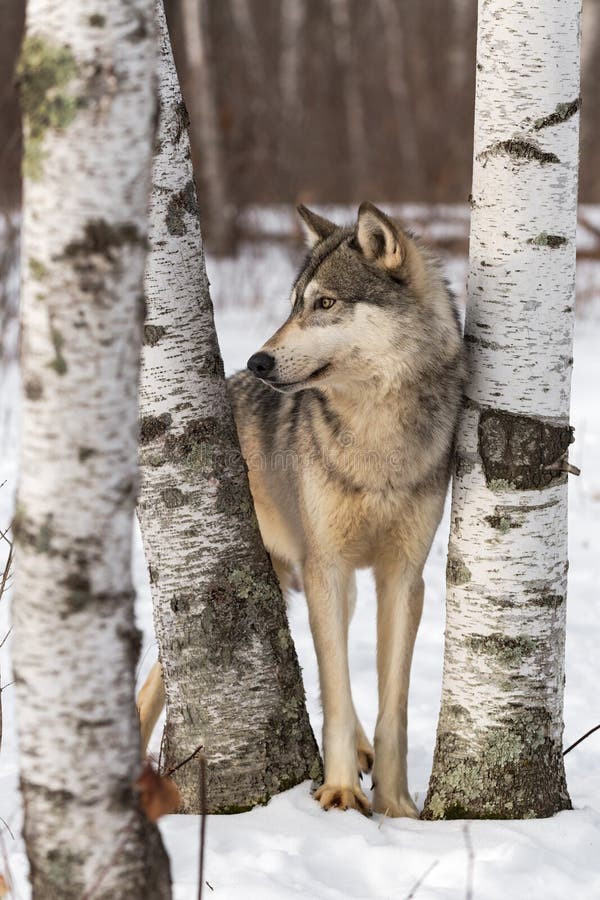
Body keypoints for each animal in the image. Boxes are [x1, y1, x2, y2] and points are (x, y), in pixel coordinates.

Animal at [138, 202, 465, 817]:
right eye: (294, 303)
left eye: (326, 304)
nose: (258, 360)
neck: (377, 440)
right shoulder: (327, 567)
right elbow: (334, 691)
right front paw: (339, 791)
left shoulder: (402, 577)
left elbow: (393, 703)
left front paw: (396, 806)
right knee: (153, 684)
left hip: (333, 583)